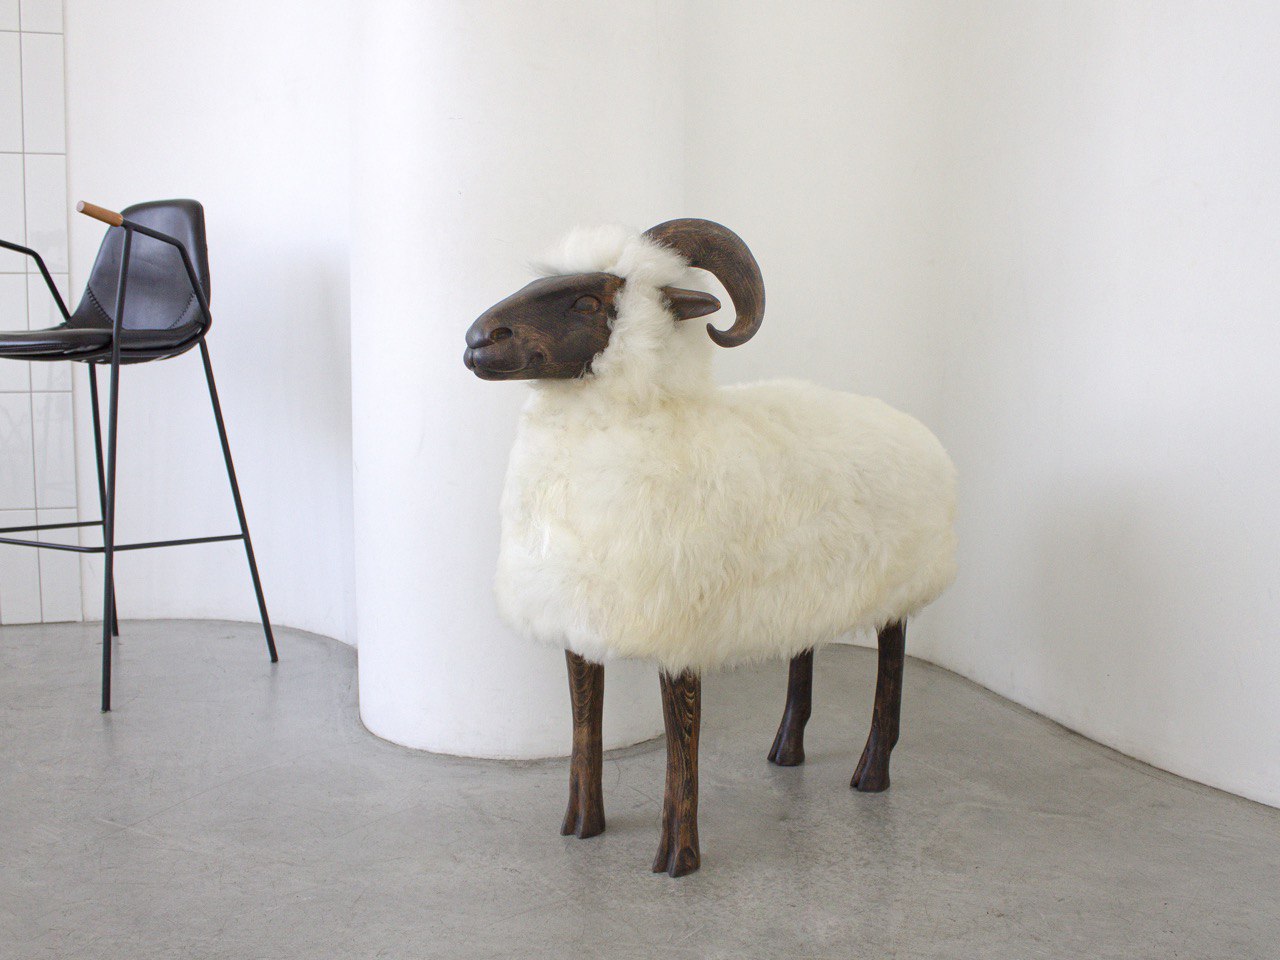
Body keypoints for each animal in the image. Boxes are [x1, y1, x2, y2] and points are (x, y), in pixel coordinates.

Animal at [464, 219, 956, 876]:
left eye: (590, 302)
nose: (477, 338)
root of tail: (917, 430)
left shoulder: (680, 632)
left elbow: (682, 746)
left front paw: (679, 856)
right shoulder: (577, 618)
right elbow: (584, 727)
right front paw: (581, 825)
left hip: (897, 581)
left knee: (892, 664)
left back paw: (872, 771)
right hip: (804, 586)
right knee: (803, 654)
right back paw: (786, 751)